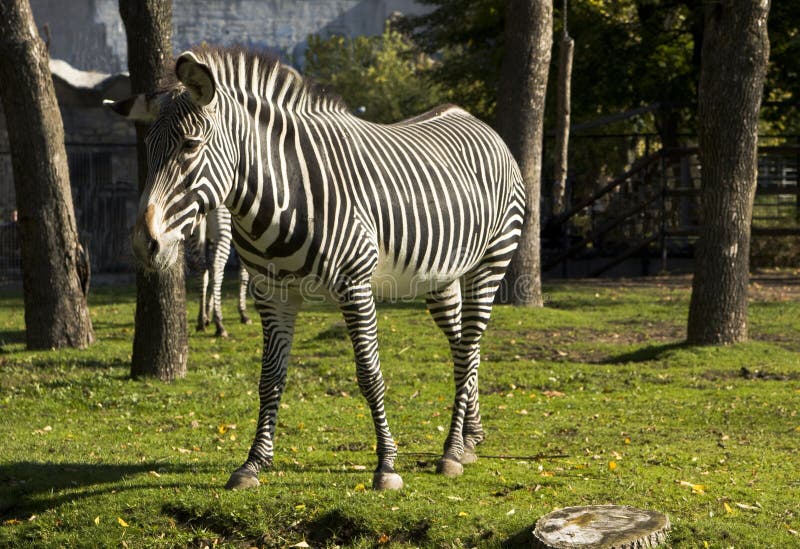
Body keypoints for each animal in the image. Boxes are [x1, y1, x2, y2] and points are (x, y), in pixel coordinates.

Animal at [188, 205, 252, 337]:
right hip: (223, 226)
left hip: (194, 230)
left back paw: (201, 321)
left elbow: (210, 274)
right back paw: (219, 324)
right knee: (217, 266)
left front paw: (207, 313)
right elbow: (243, 275)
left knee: (201, 269)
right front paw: (243, 313)